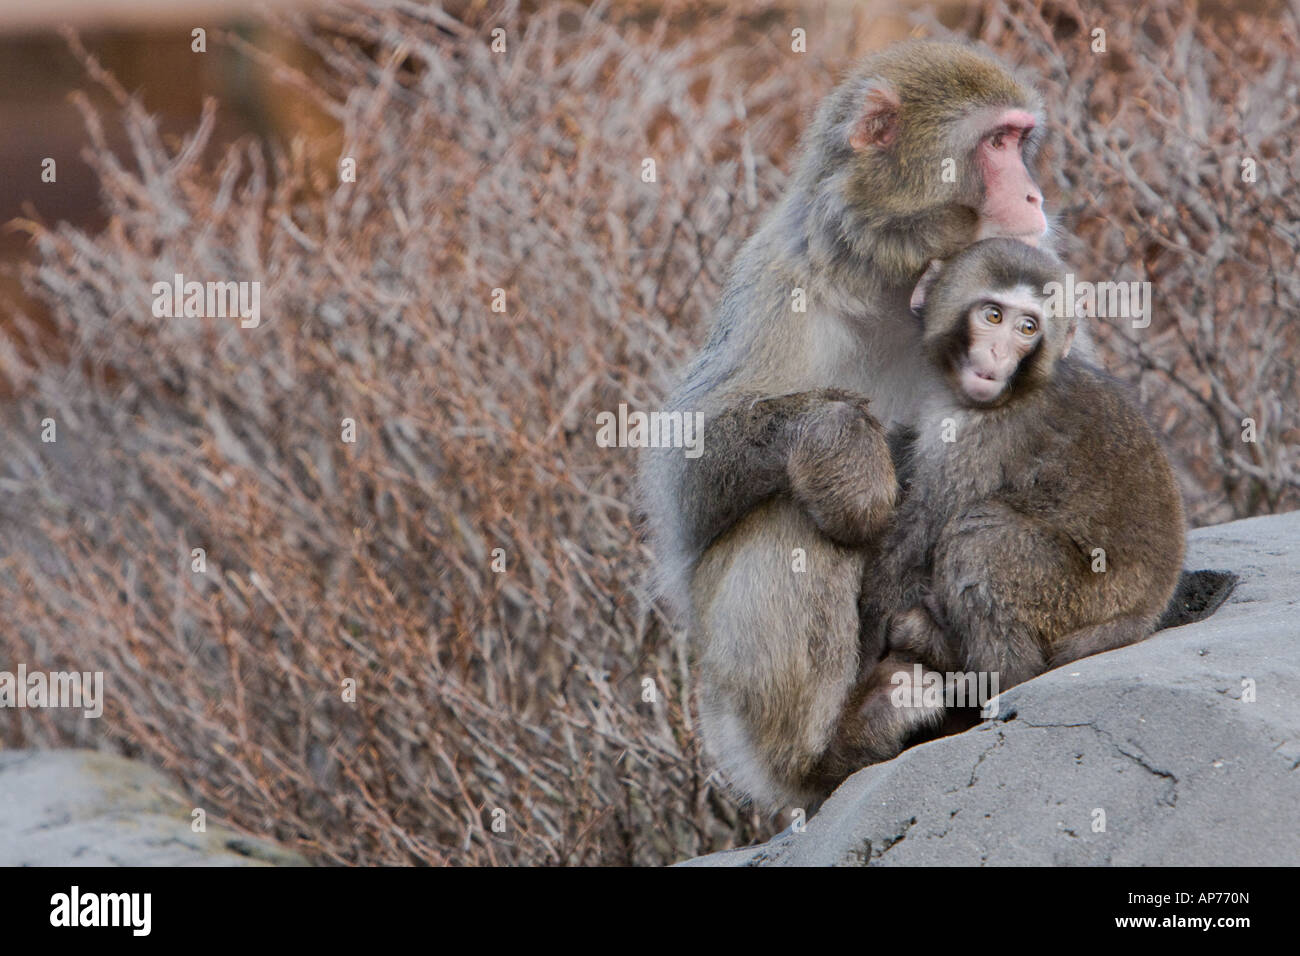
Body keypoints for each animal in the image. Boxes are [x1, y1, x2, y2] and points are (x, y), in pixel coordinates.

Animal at [638, 41, 1055, 809]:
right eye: (997, 143)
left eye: (1020, 141)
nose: (1036, 198)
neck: (897, 283)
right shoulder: (778, 284)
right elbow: (686, 476)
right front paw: (842, 447)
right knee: (789, 520)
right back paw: (835, 749)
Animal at [815, 238, 1187, 782]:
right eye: (993, 315)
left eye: (1027, 328)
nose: (995, 353)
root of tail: (1145, 612)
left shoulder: (977, 439)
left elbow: (911, 551)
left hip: (1081, 600)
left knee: (980, 536)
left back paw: (987, 678)